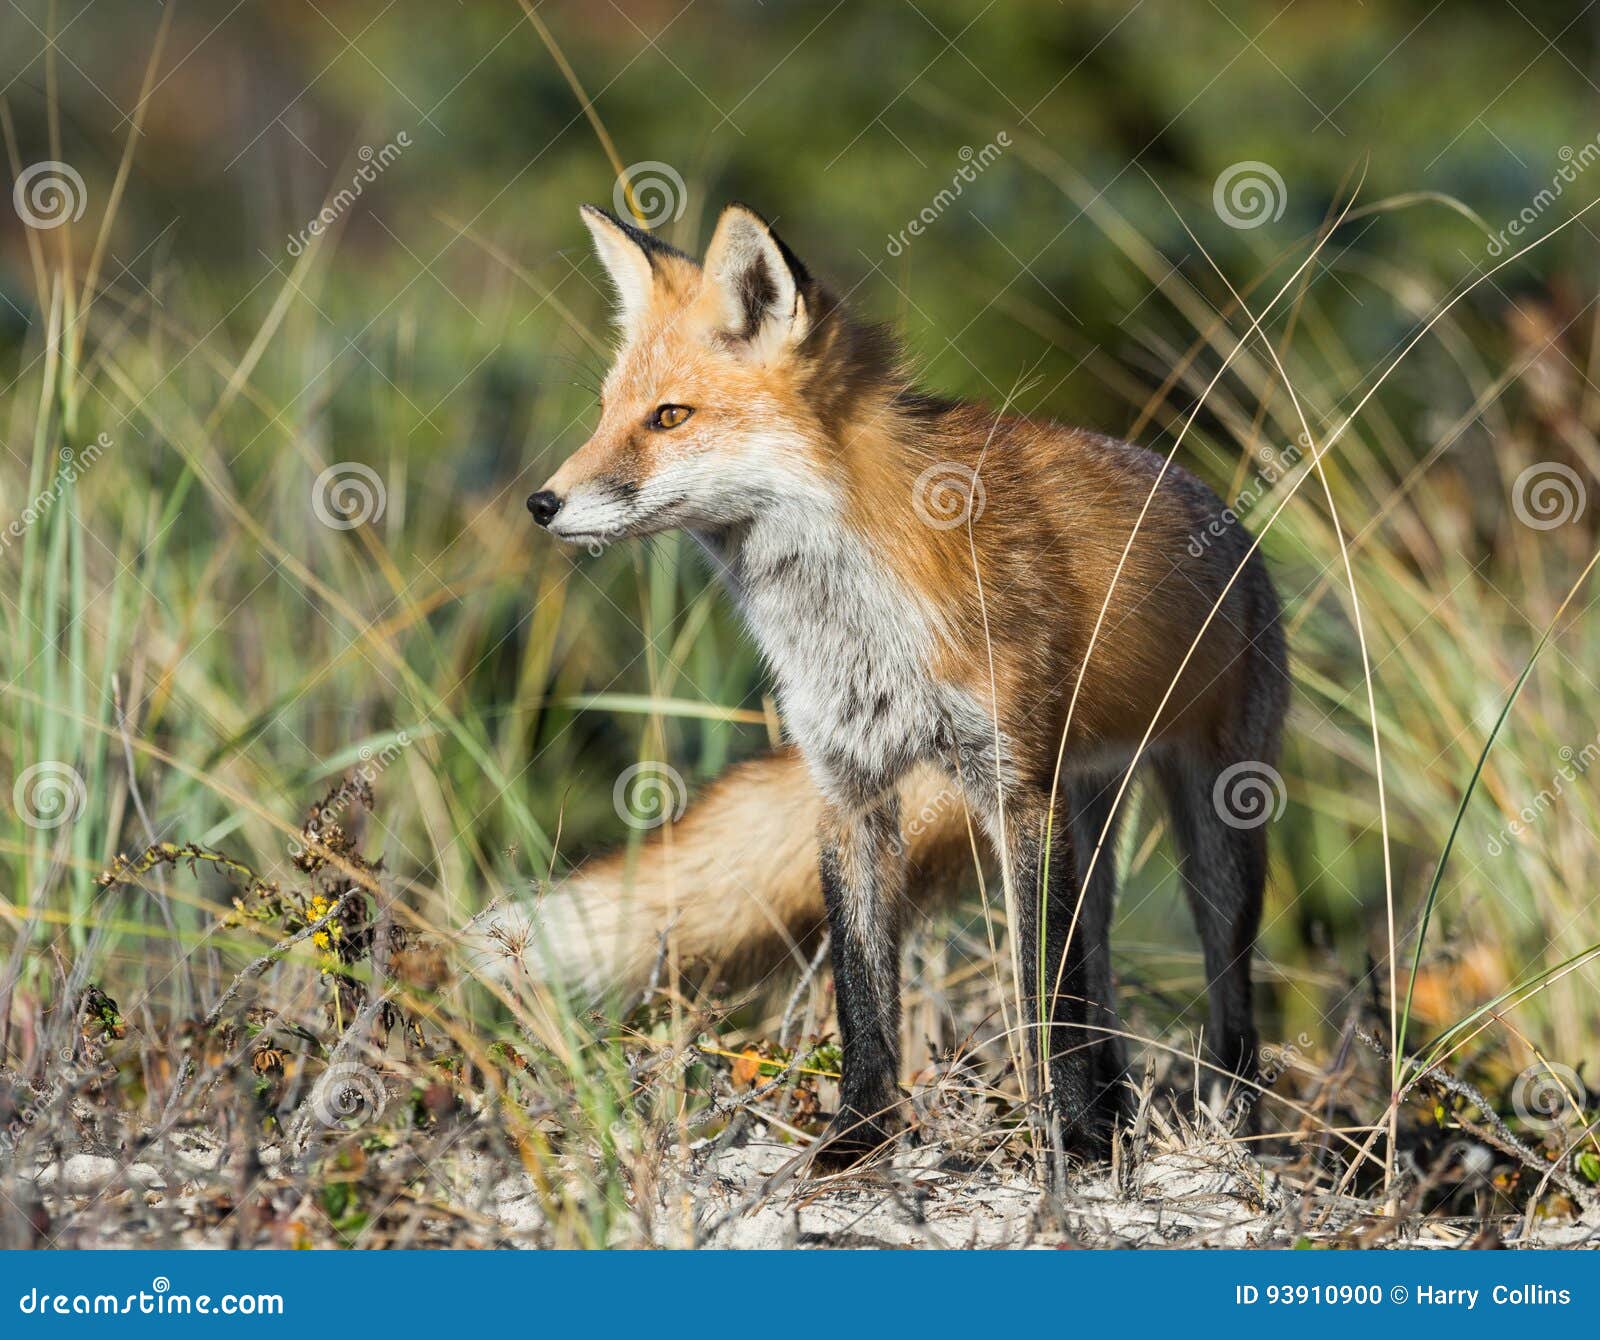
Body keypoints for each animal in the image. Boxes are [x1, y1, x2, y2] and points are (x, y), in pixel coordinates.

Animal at [519, 201, 1289, 1165]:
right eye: (606, 412)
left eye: (669, 416)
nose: (541, 503)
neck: (850, 625)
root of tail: (1232, 522)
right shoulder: (846, 787)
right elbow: (863, 989)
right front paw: (858, 1137)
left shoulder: (1013, 789)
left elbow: (1044, 988)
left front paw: (1070, 1139)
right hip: (1088, 816)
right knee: (1101, 969)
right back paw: (1119, 1108)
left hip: (1215, 832)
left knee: (1225, 1003)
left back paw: (1234, 1137)